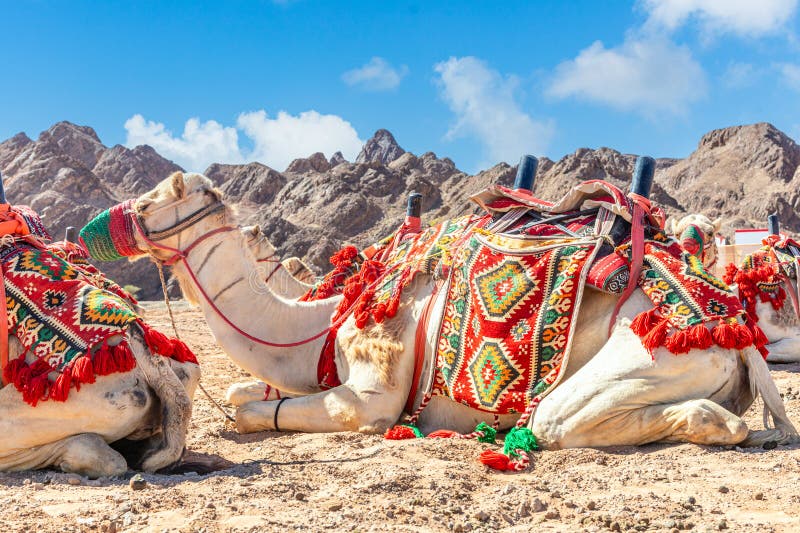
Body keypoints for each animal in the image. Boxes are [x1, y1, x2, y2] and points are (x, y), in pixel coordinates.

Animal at [99, 170, 796, 457]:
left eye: (157, 197)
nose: (103, 224)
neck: (315, 325)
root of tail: (734, 329)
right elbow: (244, 391)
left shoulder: (371, 395)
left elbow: (263, 412)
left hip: (646, 354)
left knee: (559, 422)